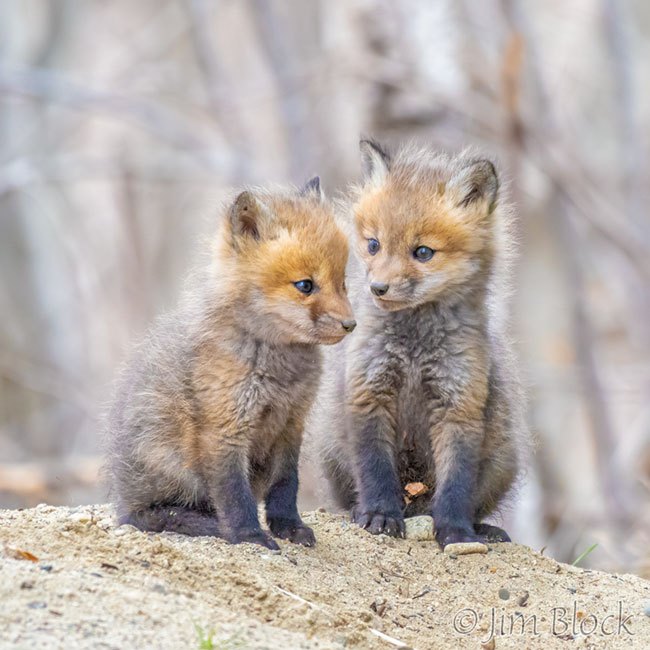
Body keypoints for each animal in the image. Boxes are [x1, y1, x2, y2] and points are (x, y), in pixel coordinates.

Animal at [106, 177, 355, 550]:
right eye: (305, 285)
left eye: (343, 283)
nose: (350, 325)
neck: (278, 371)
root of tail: (121, 492)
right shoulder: (225, 428)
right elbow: (235, 494)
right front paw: (249, 535)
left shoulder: (291, 424)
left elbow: (286, 486)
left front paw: (288, 527)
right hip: (169, 467)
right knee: (149, 516)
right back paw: (204, 524)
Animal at [317, 140, 525, 548]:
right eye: (374, 245)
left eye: (423, 252)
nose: (377, 288)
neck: (414, 351)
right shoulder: (369, 391)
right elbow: (375, 468)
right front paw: (380, 516)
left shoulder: (460, 403)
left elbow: (456, 483)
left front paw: (457, 532)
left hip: (503, 460)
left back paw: (484, 529)